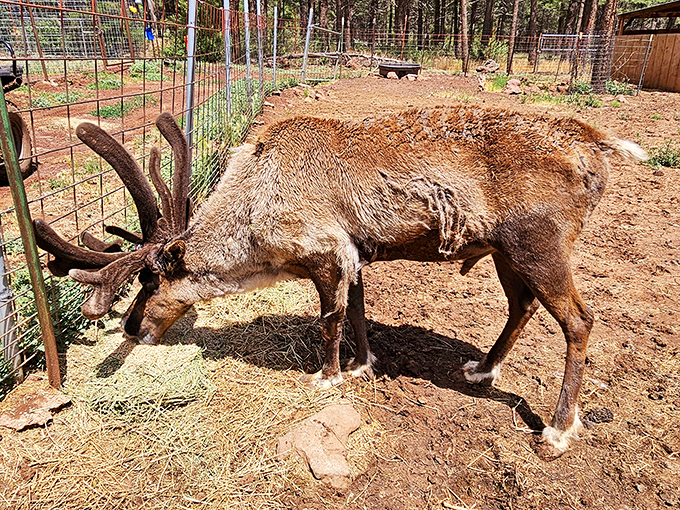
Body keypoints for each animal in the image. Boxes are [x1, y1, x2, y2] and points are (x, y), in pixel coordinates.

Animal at [33, 107, 646, 458]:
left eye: (148, 280)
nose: (131, 326)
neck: (252, 216)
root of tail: (599, 146)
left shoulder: (325, 253)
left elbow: (329, 321)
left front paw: (326, 376)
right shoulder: (355, 254)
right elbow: (355, 314)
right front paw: (363, 363)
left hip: (538, 247)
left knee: (579, 320)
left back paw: (557, 432)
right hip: (505, 253)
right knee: (522, 307)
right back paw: (482, 368)